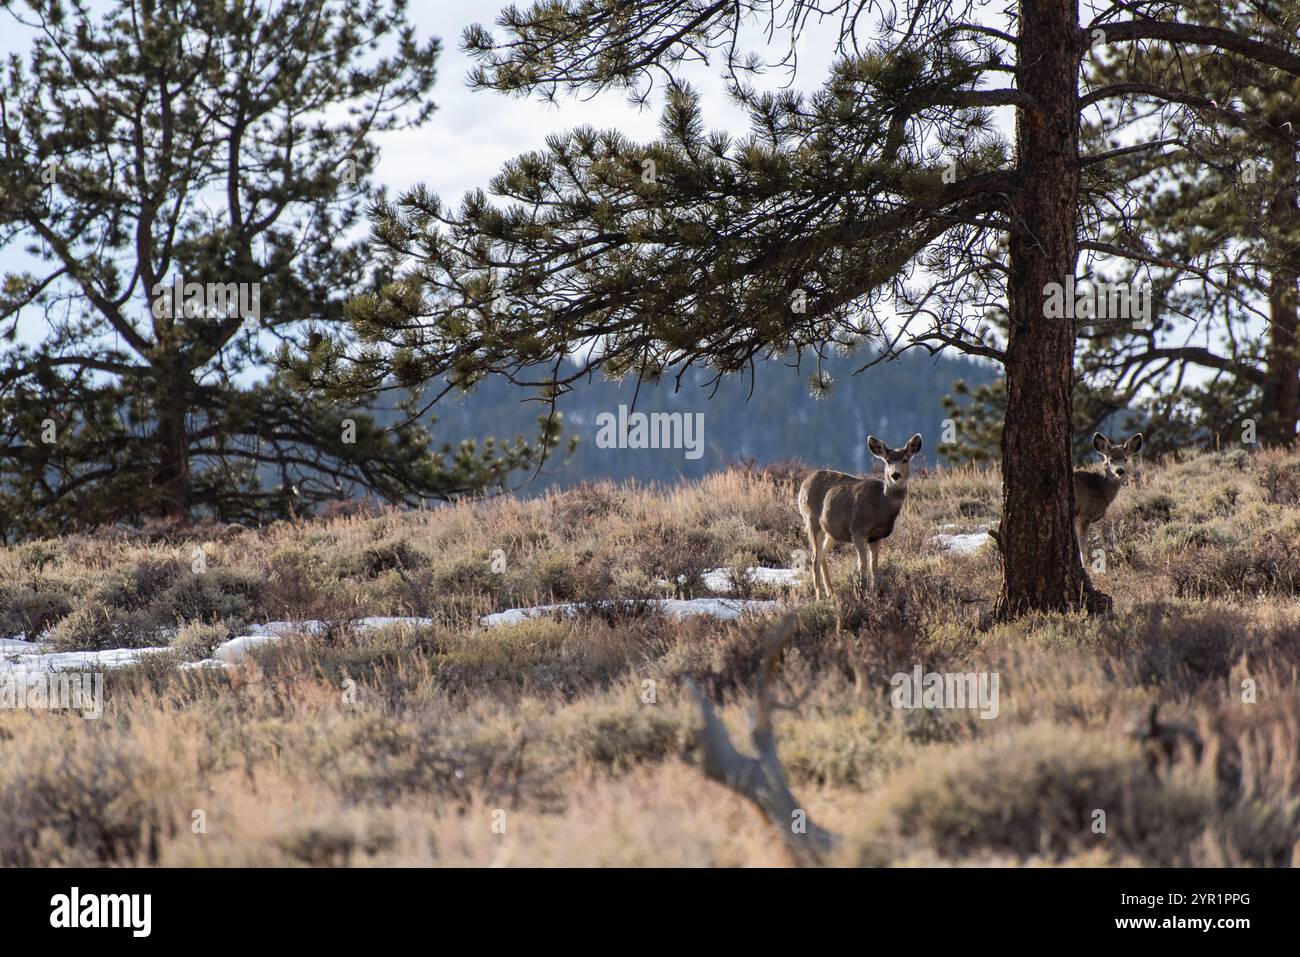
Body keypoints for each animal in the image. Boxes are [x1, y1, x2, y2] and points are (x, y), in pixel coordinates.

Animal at [797, 433, 923, 598]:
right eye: (888, 460)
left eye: (905, 459)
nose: (895, 475)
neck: (880, 504)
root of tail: (803, 484)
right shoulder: (857, 530)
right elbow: (863, 564)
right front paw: (862, 593)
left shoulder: (876, 537)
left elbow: (874, 565)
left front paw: (875, 591)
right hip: (812, 522)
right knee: (814, 558)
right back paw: (820, 597)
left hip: (831, 531)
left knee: (821, 555)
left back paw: (831, 594)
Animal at [1074, 432, 1143, 566]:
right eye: (1110, 459)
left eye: (1125, 459)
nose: (1119, 470)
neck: (1100, 489)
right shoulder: (1084, 514)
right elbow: (1083, 548)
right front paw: (1086, 566)